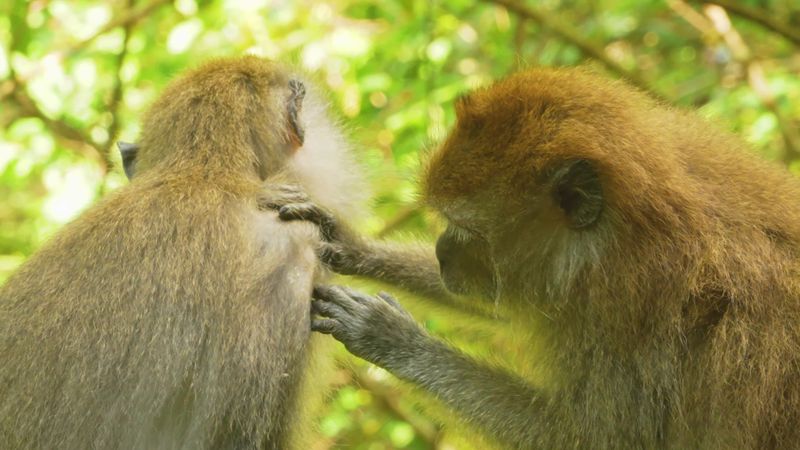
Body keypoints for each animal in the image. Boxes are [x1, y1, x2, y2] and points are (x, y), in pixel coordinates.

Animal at [269, 67, 800, 449]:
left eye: (465, 227)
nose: (442, 252)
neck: (626, 233)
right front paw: (350, 243)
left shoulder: (634, 310)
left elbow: (596, 440)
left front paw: (394, 339)